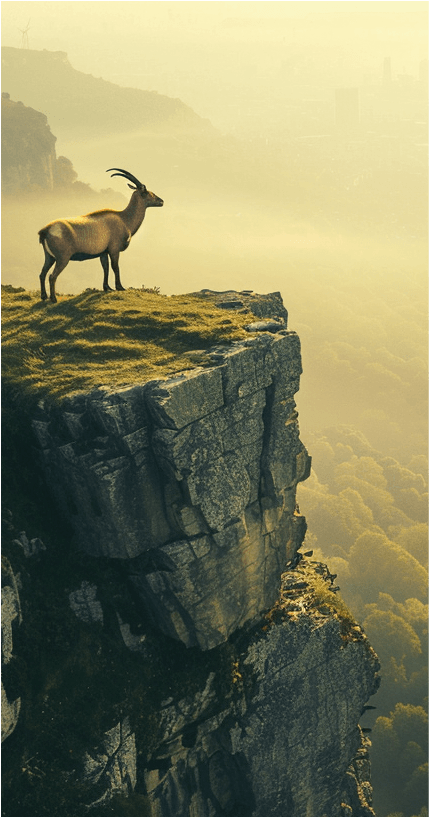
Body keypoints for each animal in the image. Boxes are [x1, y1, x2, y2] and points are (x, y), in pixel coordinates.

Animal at [38, 168, 163, 303]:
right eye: (146, 192)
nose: (161, 201)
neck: (124, 219)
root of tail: (45, 230)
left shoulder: (103, 252)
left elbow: (105, 267)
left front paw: (107, 287)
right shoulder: (114, 249)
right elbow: (115, 267)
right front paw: (120, 287)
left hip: (49, 257)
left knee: (42, 274)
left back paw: (44, 297)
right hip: (62, 258)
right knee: (52, 276)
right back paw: (54, 299)